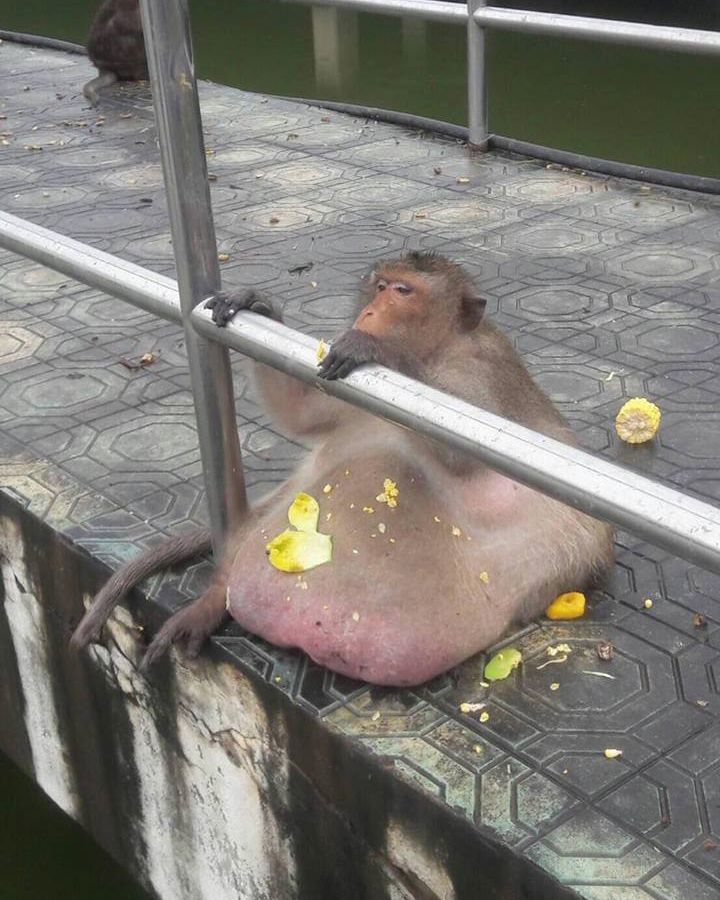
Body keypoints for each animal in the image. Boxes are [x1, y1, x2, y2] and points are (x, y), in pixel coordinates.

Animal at [72, 252, 614, 687]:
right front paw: (260, 306)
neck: (436, 349)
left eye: (403, 291)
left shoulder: (484, 368)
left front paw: (376, 350)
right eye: (380, 285)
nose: (370, 312)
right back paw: (211, 601)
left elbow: (474, 449)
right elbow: (301, 414)